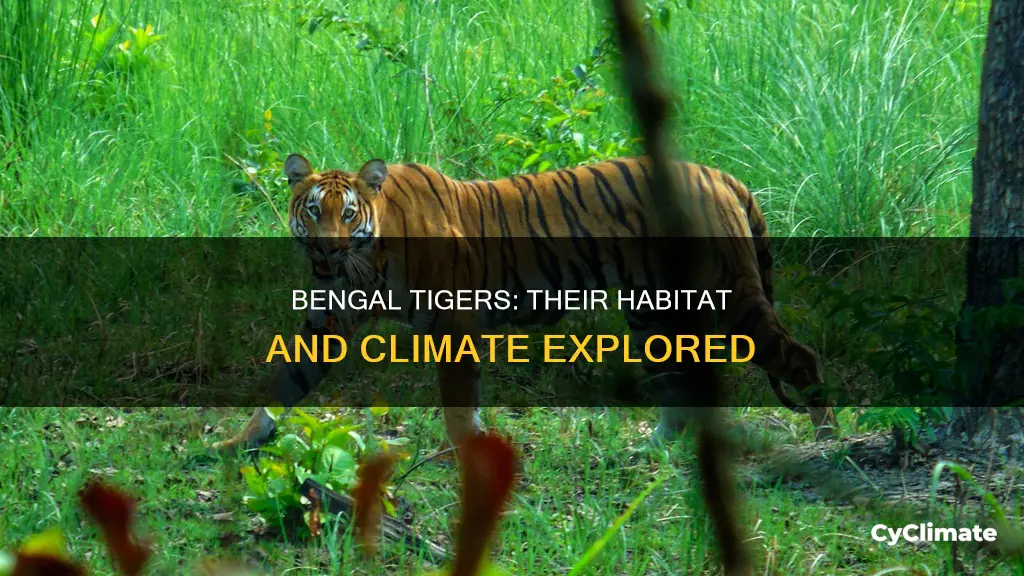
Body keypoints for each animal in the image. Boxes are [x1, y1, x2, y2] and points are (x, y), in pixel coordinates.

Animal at [211, 154, 836, 455]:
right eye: (313, 210)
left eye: (346, 214)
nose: (327, 249)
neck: (370, 253)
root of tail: (719, 174)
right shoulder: (328, 319)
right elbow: (286, 381)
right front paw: (239, 442)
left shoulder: (453, 320)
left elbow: (458, 401)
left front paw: (465, 453)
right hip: (653, 310)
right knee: (679, 385)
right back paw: (650, 451)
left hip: (731, 299)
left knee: (800, 357)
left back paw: (831, 443)